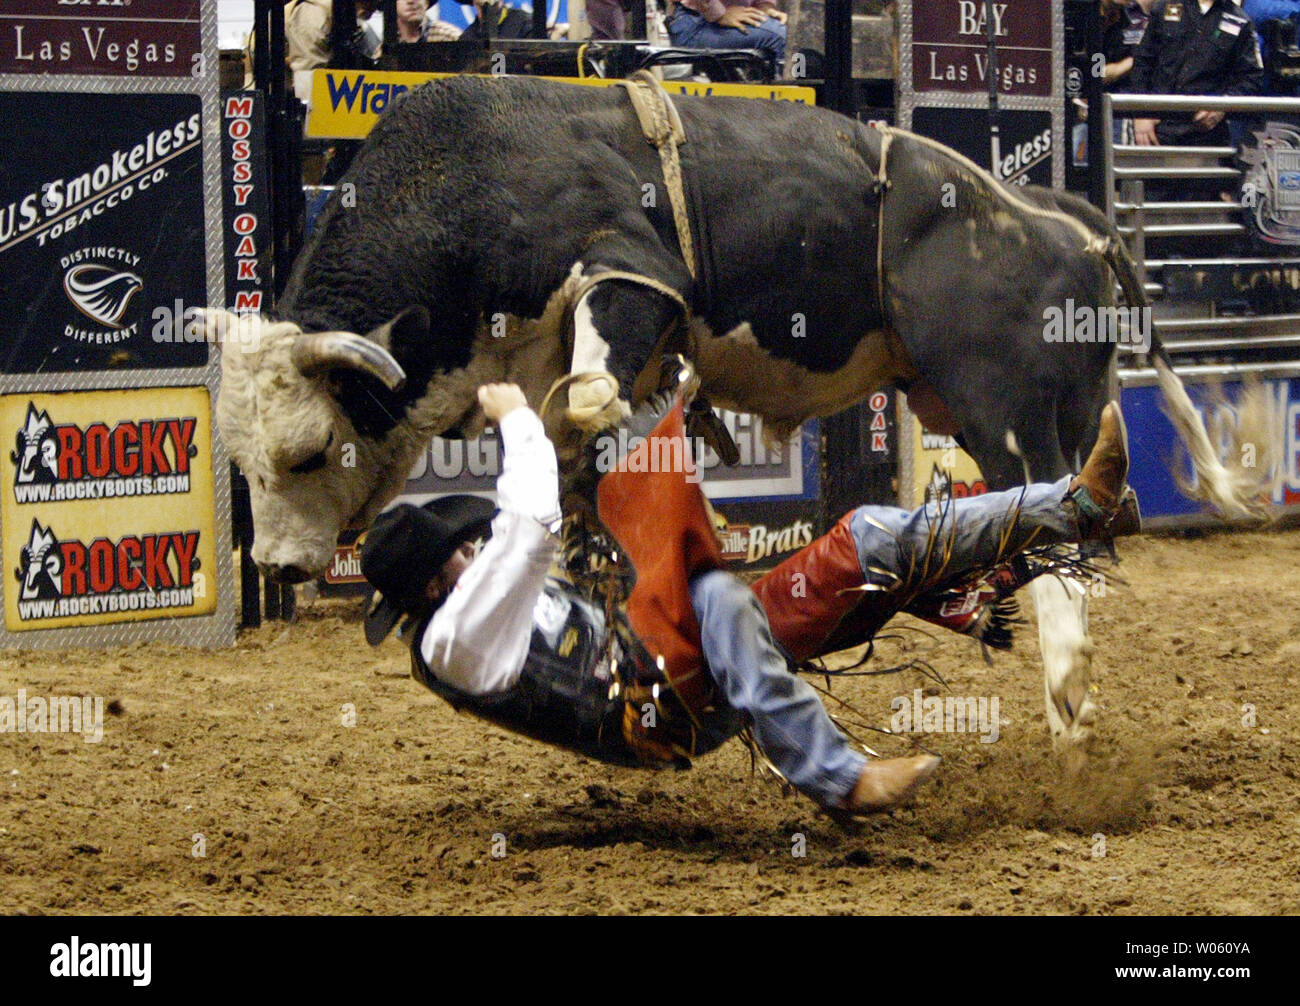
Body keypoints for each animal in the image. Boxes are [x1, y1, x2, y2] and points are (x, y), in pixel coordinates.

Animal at [205, 74, 1274, 749]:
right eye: (244, 465)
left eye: (309, 451)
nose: (279, 567)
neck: (469, 185)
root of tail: (1066, 219)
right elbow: (570, 444)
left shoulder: (630, 275)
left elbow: (593, 396)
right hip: (1052, 405)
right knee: (1076, 534)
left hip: (1003, 408)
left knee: (1052, 535)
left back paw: (1062, 702)